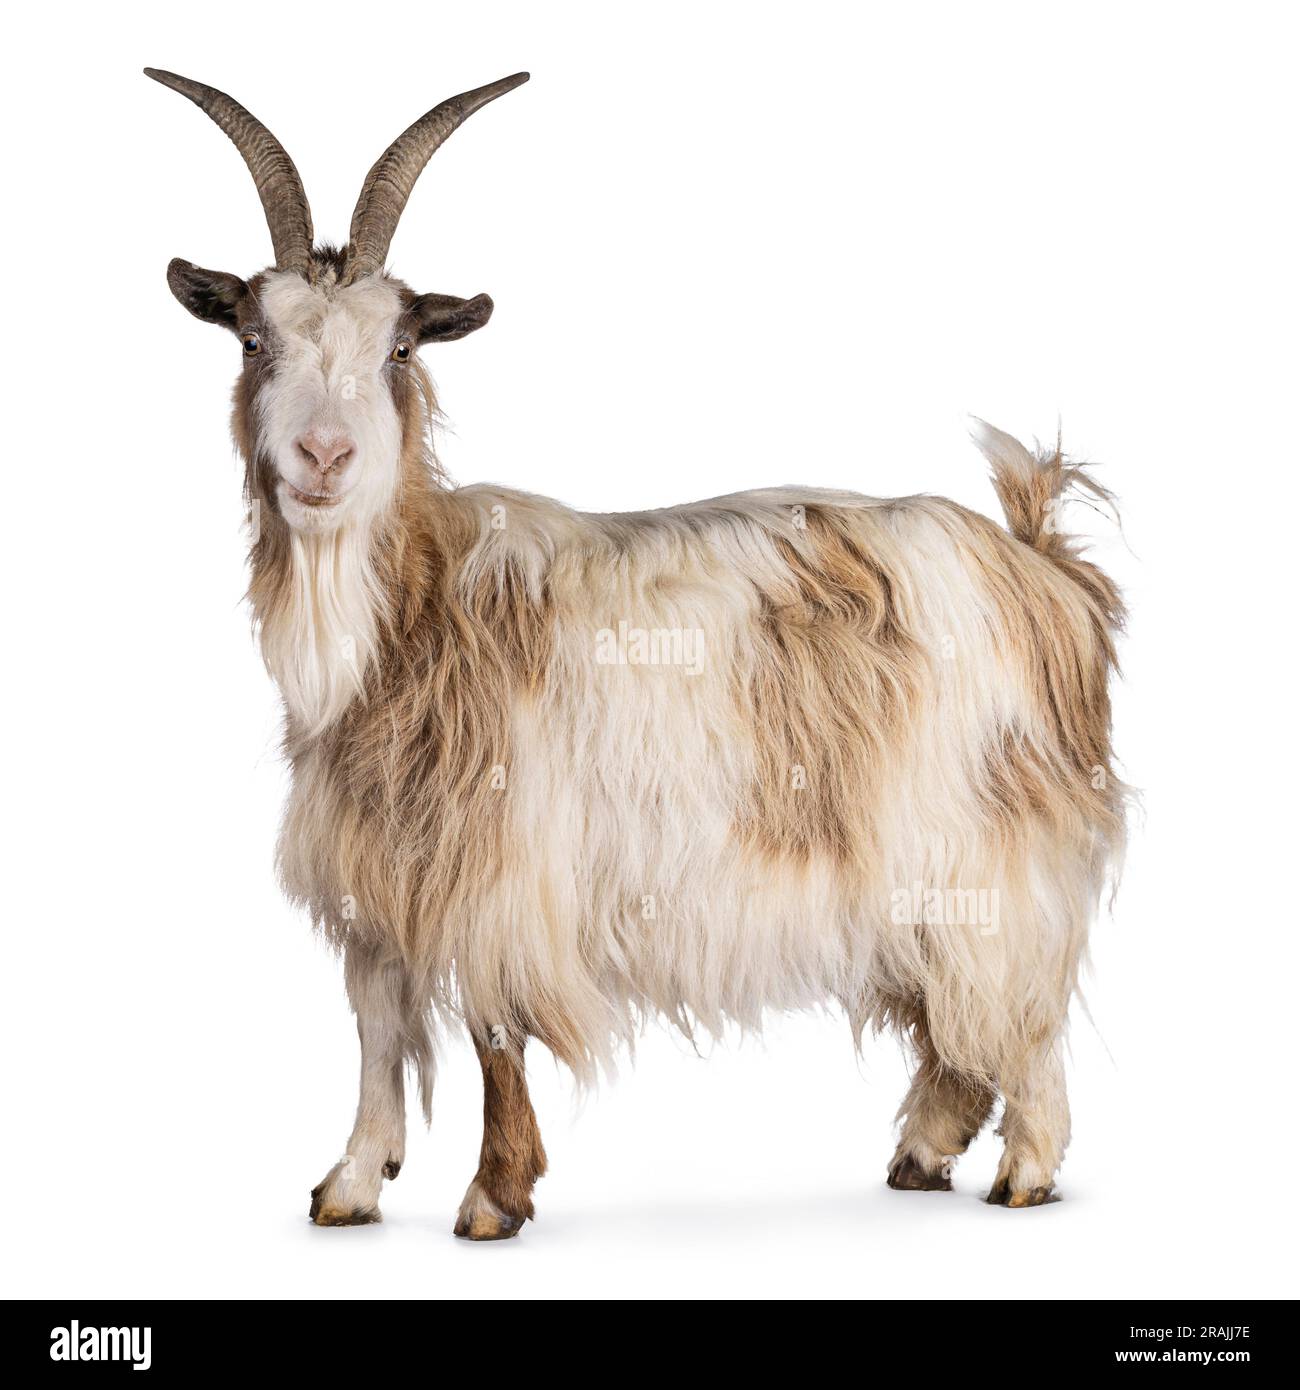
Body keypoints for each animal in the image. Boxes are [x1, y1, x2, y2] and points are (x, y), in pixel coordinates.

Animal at [148, 68, 1125, 1238]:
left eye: (399, 348)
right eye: (255, 341)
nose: (324, 455)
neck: (415, 604)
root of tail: (1040, 567)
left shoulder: (505, 860)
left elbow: (492, 1026)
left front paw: (493, 1196)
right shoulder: (379, 863)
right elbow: (378, 1019)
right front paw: (350, 1182)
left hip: (985, 842)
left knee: (1017, 1002)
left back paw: (1026, 1169)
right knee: (958, 1015)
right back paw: (923, 1154)